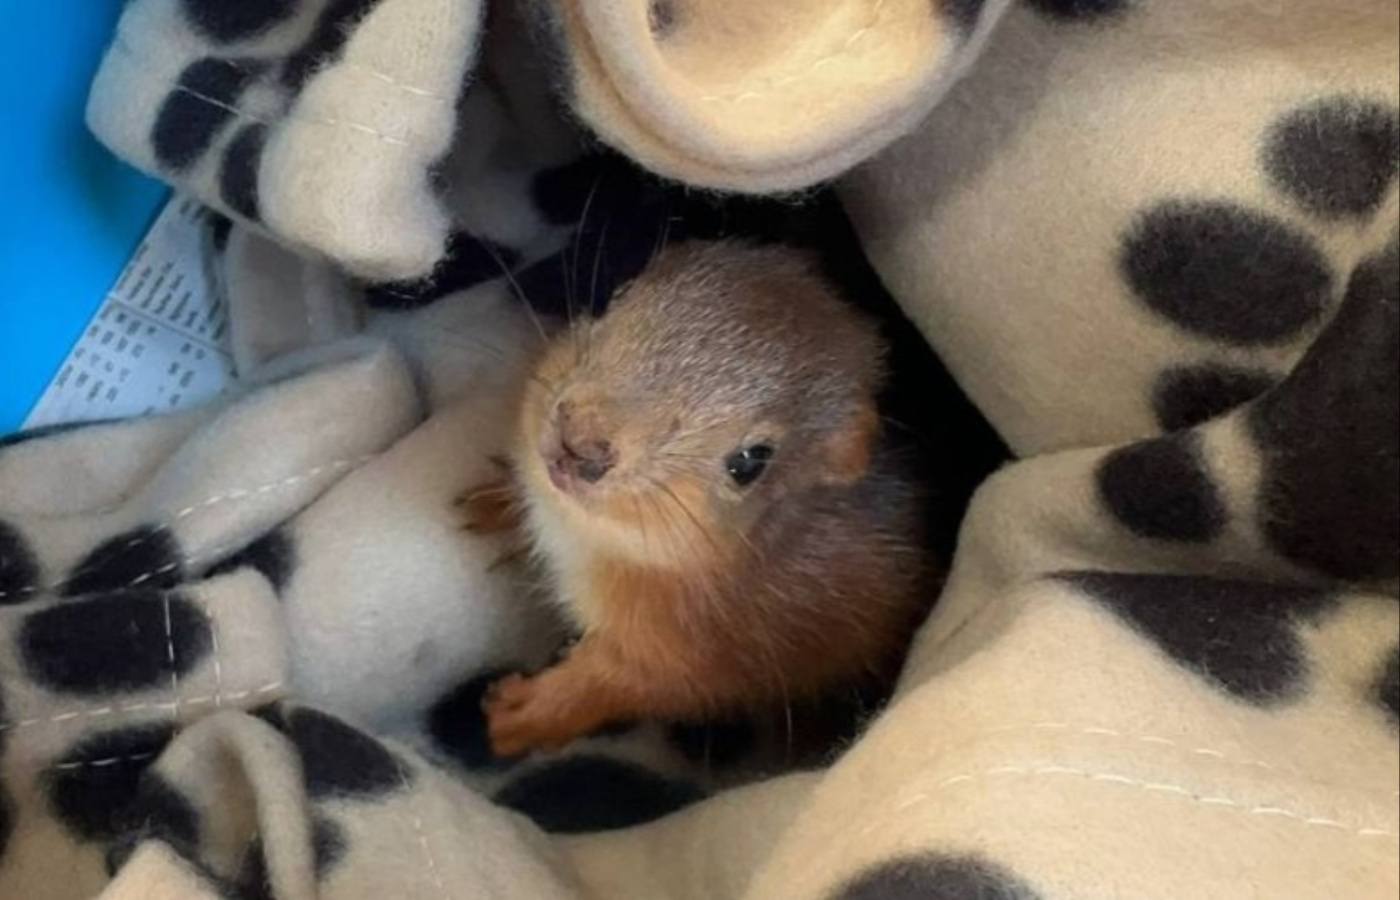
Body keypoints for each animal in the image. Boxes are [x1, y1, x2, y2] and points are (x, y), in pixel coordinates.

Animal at [460, 240, 932, 757]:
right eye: (616, 297)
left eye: (749, 462)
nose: (579, 443)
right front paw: (497, 502)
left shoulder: (693, 656)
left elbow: (609, 684)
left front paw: (523, 715)